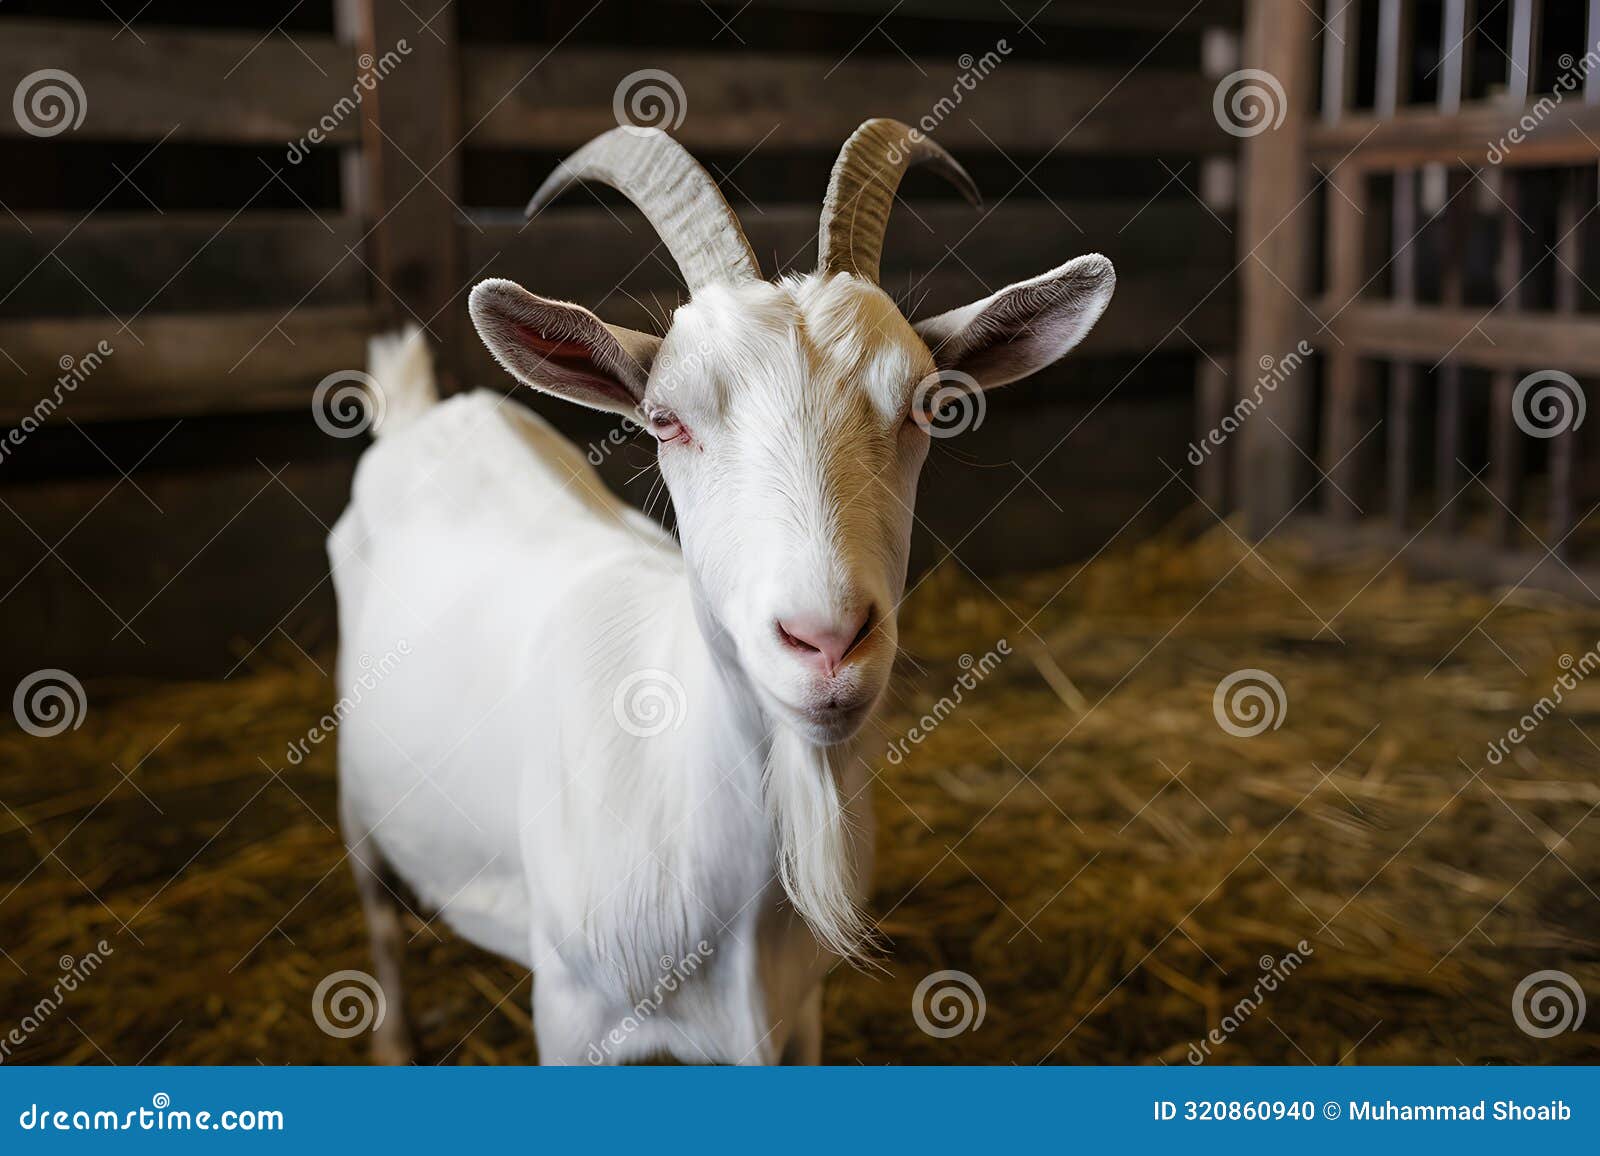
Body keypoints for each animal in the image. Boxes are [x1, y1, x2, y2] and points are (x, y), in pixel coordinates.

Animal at [329, 118, 1114, 1064]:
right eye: (667, 420)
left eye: (928, 405)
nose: (826, 640)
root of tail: (420, 416)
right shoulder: (572, 1016)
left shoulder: (796, 1019)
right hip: (357, 788)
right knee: (374, 909)